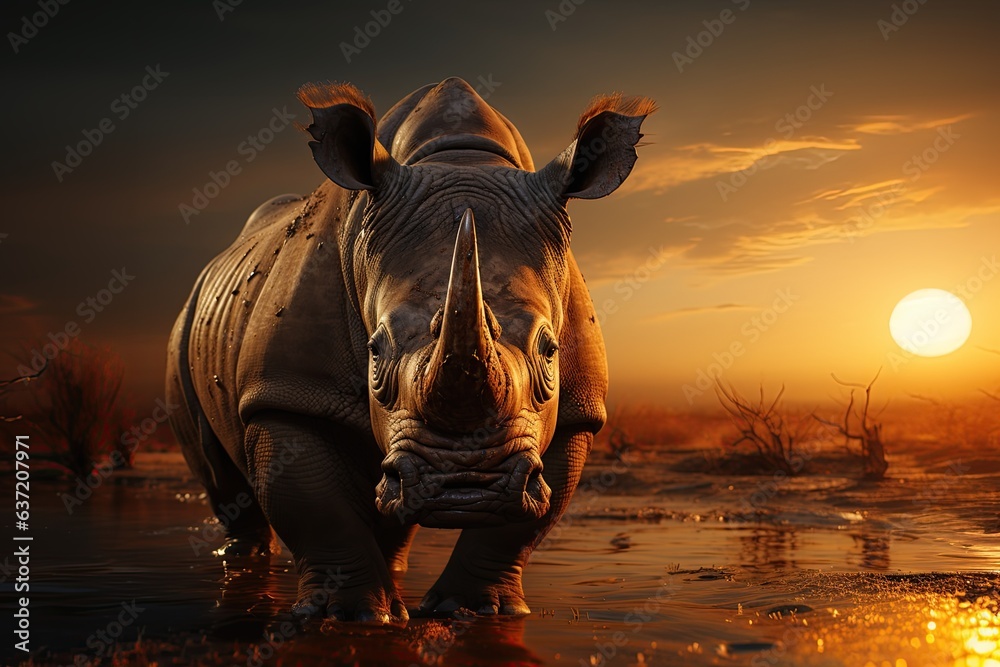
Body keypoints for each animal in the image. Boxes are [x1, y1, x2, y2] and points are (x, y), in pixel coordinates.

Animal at [166, 77, 654, 623]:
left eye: (550, 351)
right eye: (376, 351)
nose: (465, 489)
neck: (461, 159)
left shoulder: (576, 408)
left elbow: (522, 526)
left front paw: (474, 611)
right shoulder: (288, 391)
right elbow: (315, 508)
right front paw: (349, 616)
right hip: (189, 321)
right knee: (221, 477)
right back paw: (245, 564)